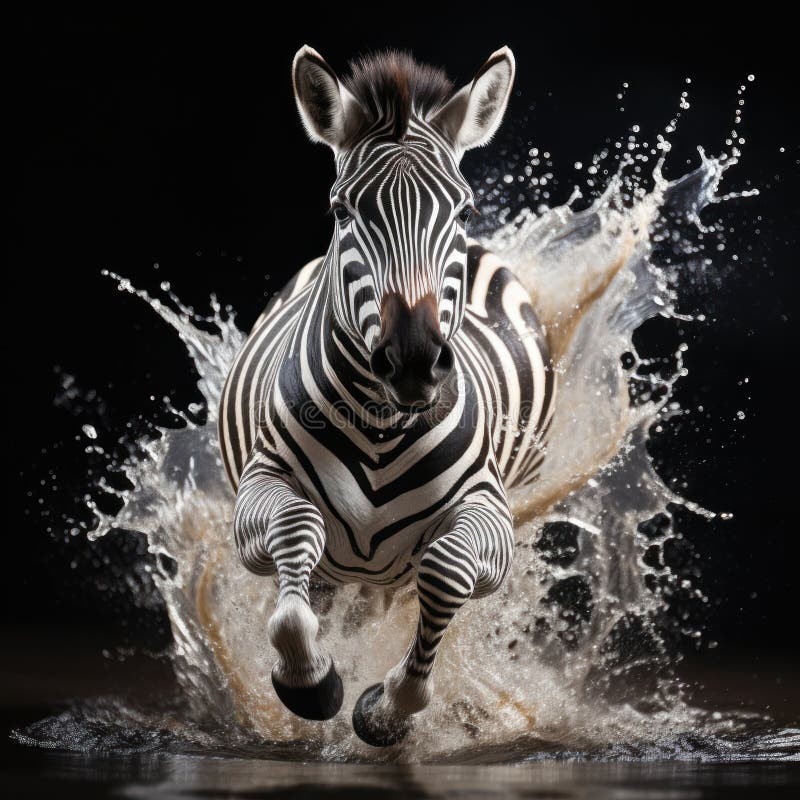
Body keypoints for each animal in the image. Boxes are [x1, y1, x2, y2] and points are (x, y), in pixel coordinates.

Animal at [218, 45, 555, 747]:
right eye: (343, 212)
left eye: (462, 210)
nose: (414, 361)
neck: (380, 424)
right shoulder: (261, 489)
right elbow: (296, 537)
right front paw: (312, 679)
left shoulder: (492, 514)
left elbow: (446, 569)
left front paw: (389, 707)